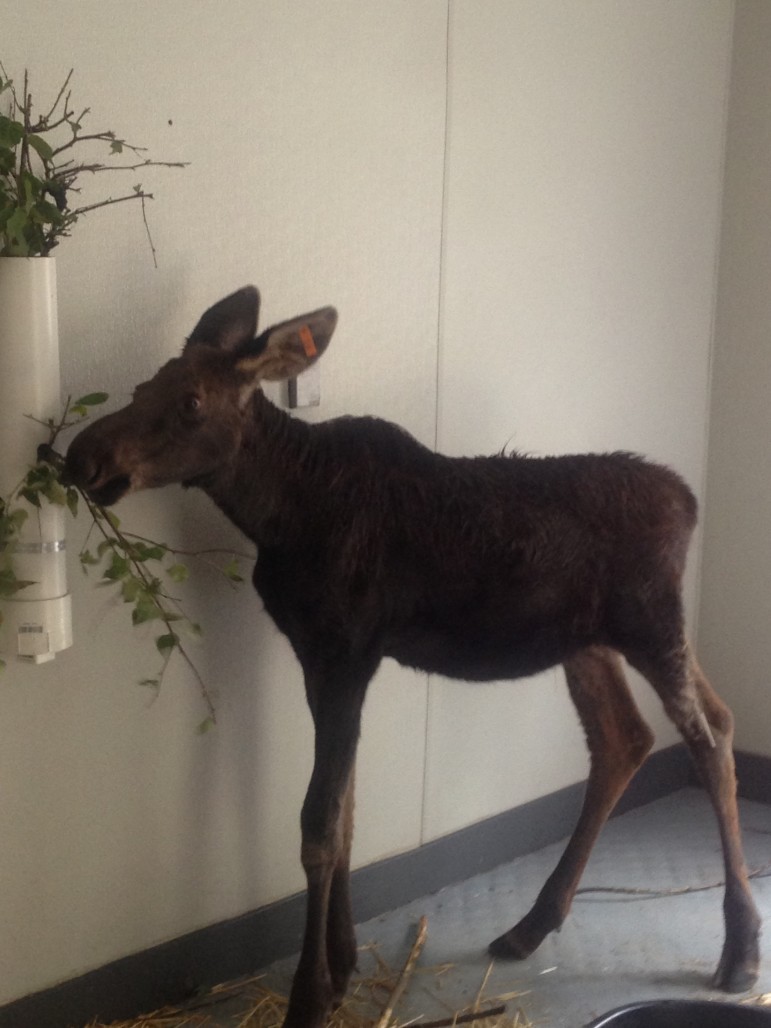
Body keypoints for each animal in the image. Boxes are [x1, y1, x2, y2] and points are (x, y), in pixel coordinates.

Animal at [64, 286, 761, 1028]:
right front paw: (341, 962)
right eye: (142, 387)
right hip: (591, 639)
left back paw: (740, 948)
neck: (275, 513)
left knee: (704, 734)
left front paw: (310, 994)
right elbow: (346, 813)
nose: (81, 457)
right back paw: (533, 924)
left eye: (192, 400)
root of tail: (688, 502)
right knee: (634, 736)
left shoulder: (346, 651)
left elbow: (318, 823)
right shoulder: (319, 658)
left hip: (651, 623)